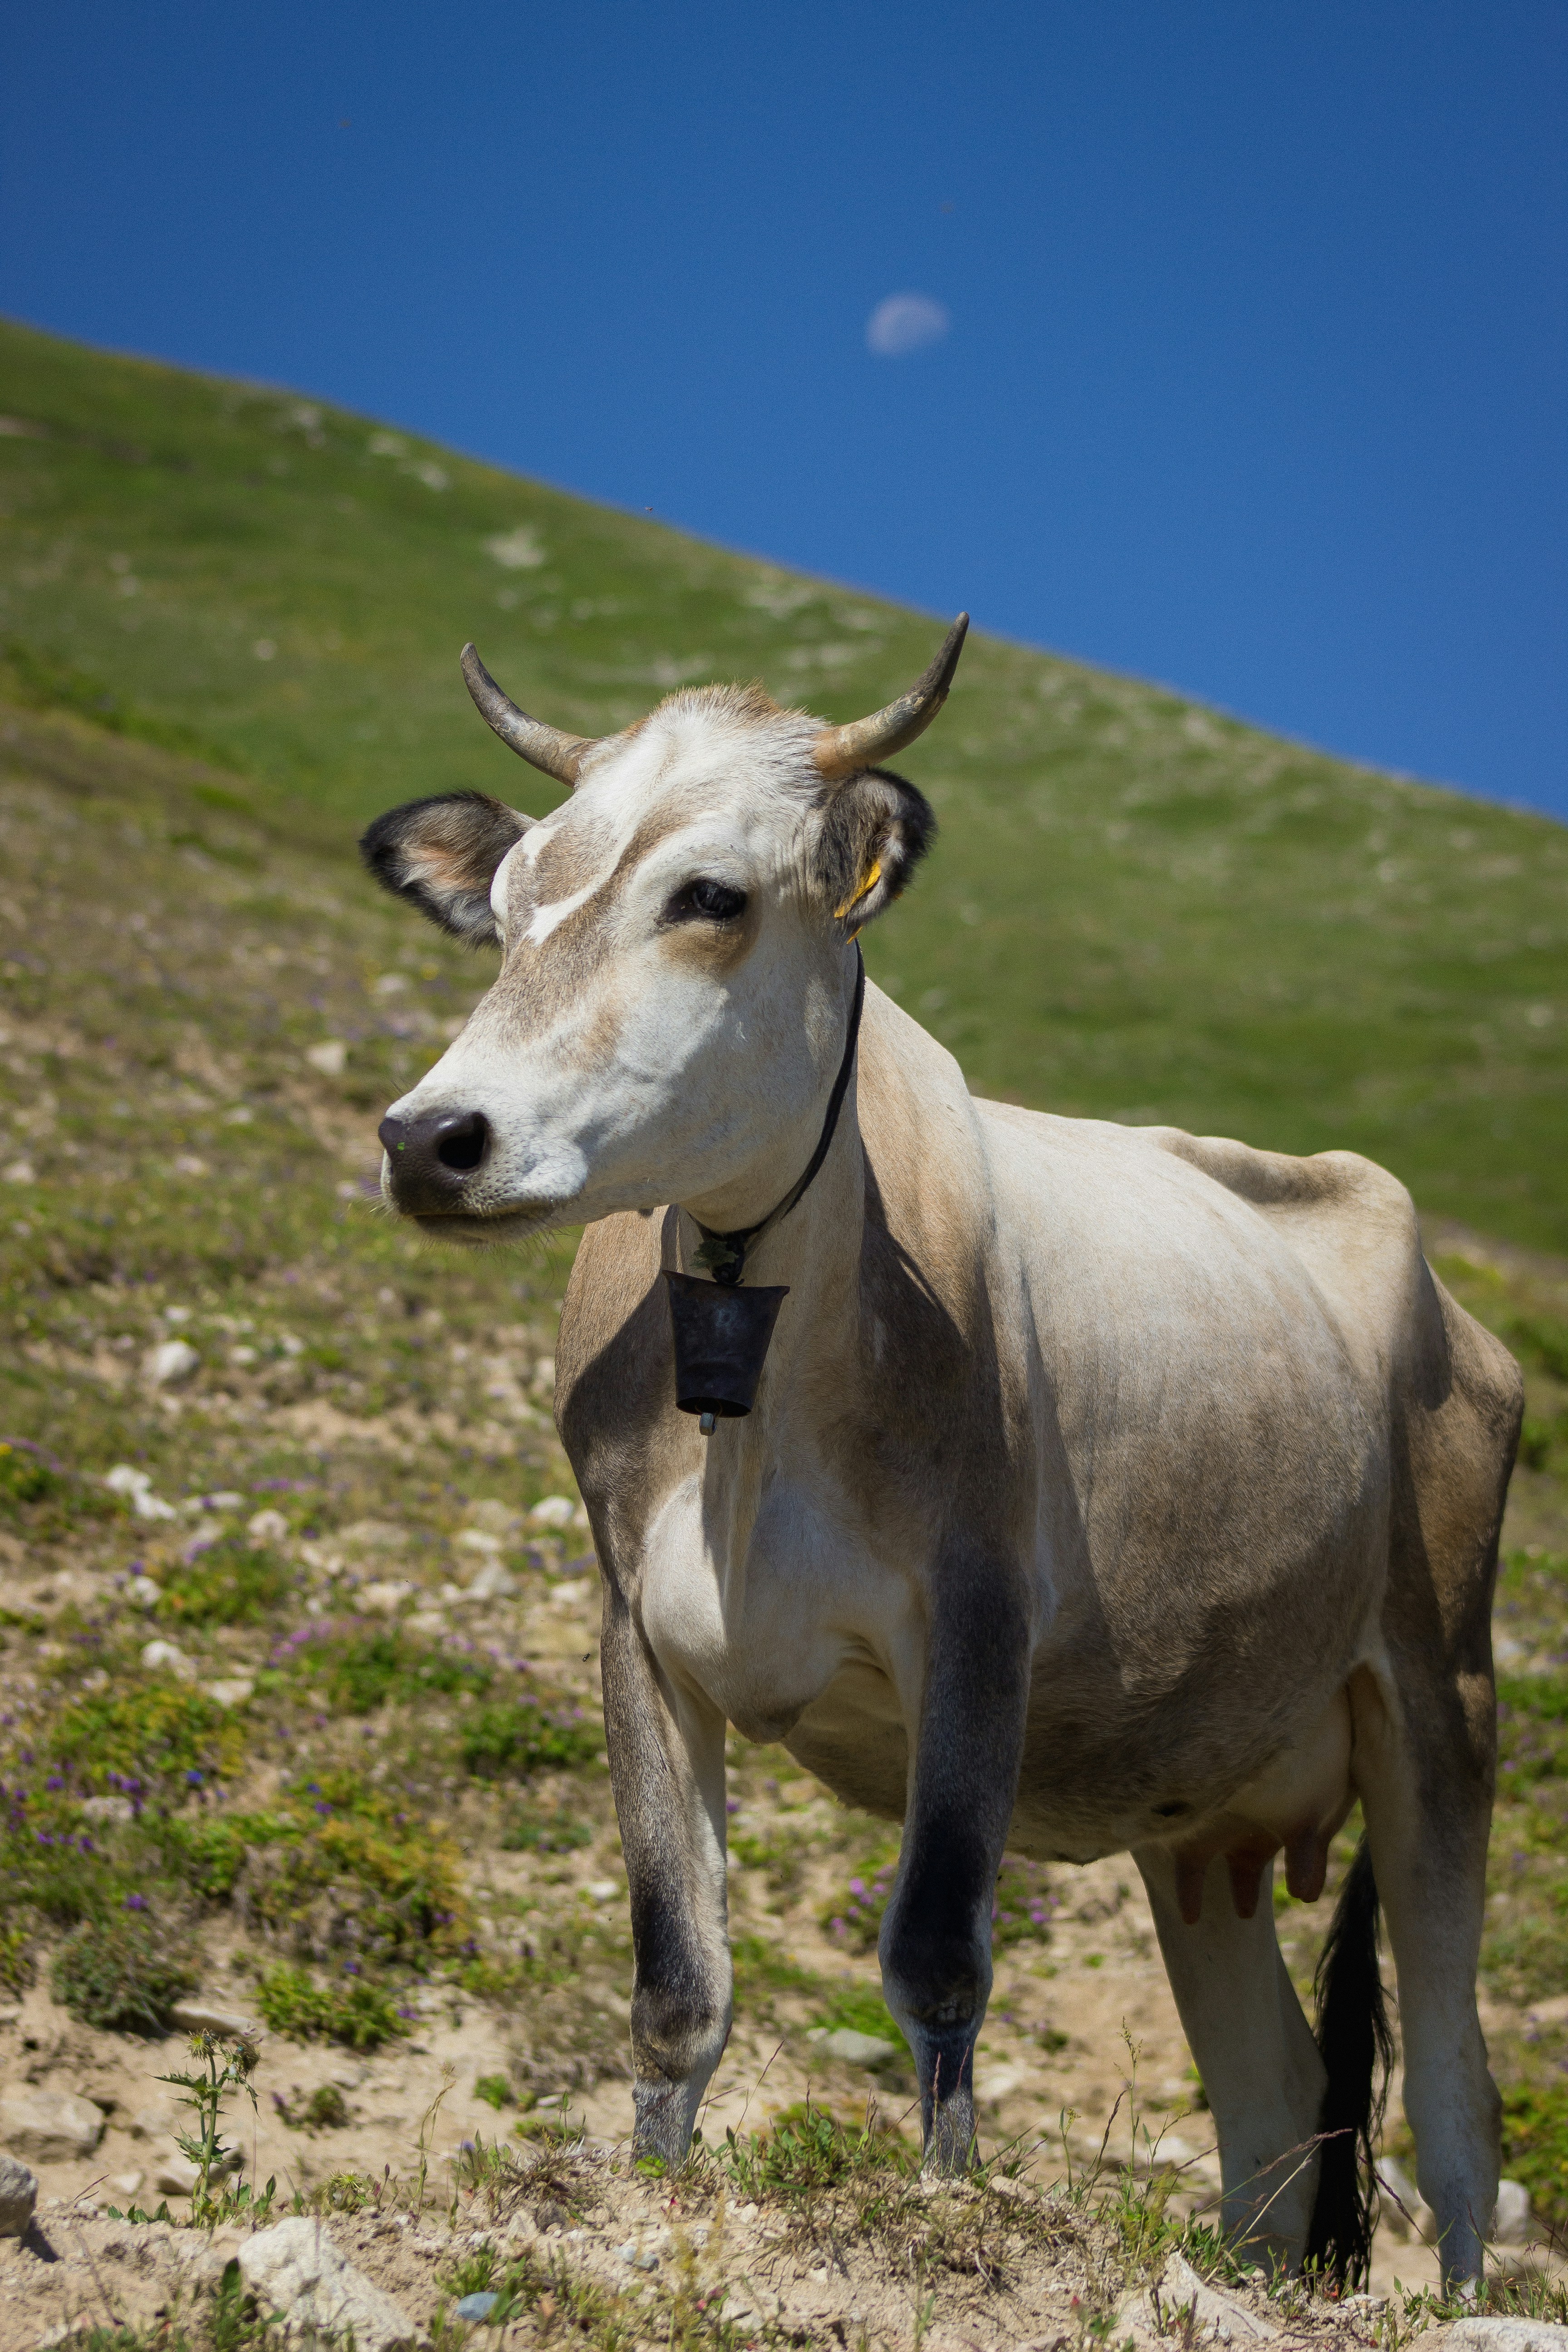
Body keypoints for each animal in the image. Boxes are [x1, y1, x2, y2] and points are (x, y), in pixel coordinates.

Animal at [362, 619, 1521, 2289]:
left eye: (708, 895)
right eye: (508, 904)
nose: (431, 1138)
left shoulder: (976, 1629)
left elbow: (935, 1960)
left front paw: (943, 2203)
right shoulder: (632, 1628)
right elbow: (676, 1981)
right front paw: (651, 2193)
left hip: (1442, 1697)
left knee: (1450, 2094)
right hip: (1206, 1821)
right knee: (1274, 2099)